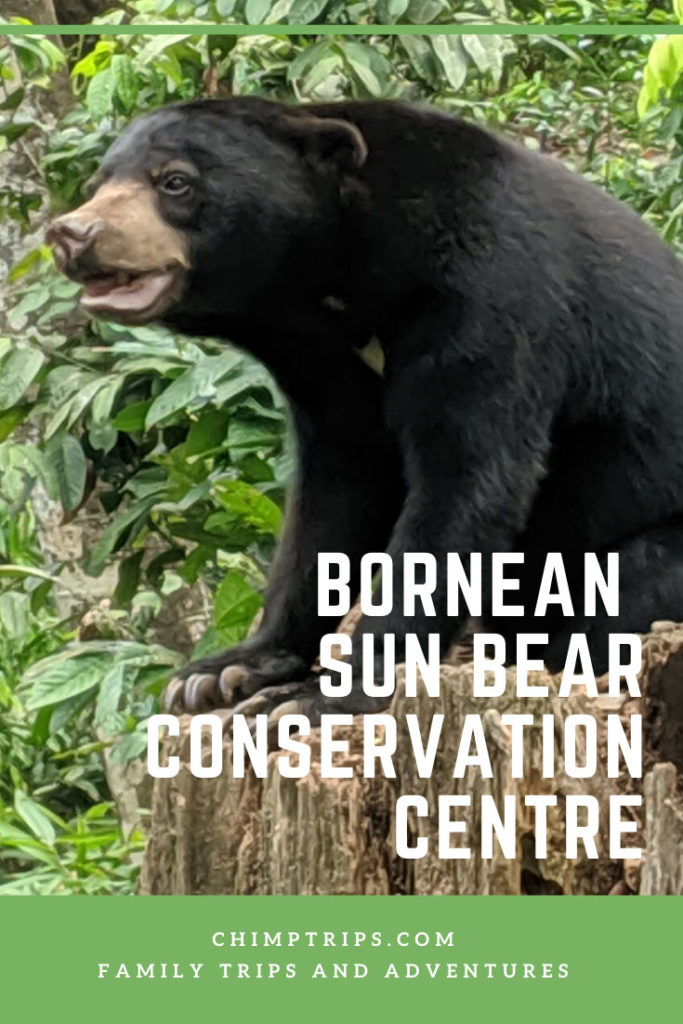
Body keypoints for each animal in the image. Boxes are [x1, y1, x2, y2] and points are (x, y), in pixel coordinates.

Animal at [48, 96, 683, 722]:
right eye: (98, 183)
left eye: (175, 181)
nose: (72, 235)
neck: (341, 282)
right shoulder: (320, 357)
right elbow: (336, 493)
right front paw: (220, 673)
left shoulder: (494, 303)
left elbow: (465, 486)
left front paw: (318, 696)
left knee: (624, 590)